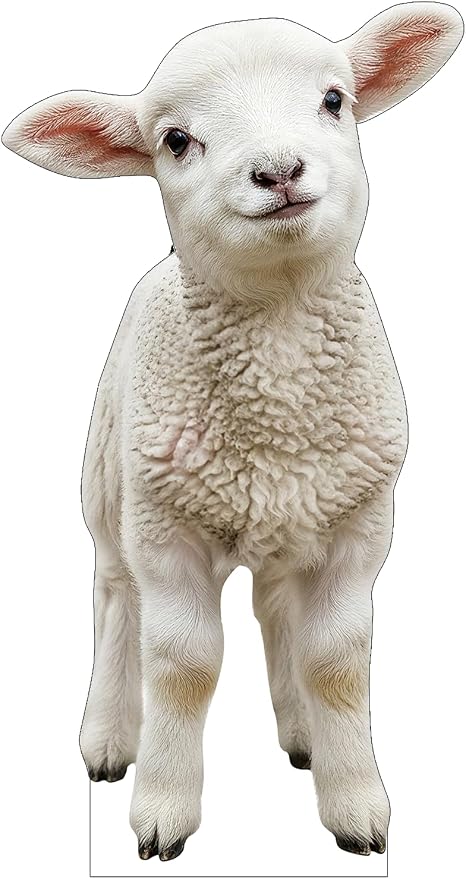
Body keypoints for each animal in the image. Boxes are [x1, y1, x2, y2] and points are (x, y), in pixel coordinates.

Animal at [2, 2, 463, 864]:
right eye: (176, 140)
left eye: (334, 100)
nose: (278, 170)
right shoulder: (167, 533)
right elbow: (183, 666)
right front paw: (162, 813)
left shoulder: (360, 526)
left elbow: (336, 661)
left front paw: (356, 805)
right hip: (108, 486)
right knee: (112, 598)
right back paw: (108, 737)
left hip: (288, 516)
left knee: (277, 610)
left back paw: (301, 731)